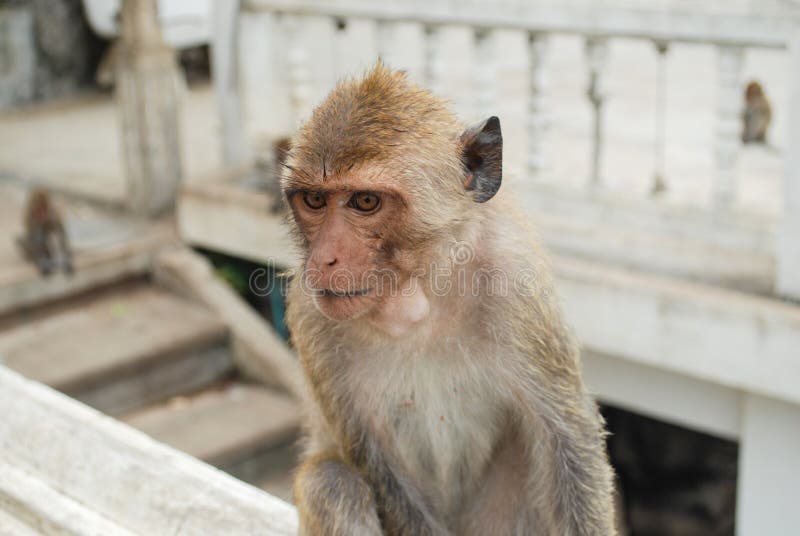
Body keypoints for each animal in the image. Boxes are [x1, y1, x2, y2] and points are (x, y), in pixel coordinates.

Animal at [284, 63, 616, 536]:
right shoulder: (309, 316)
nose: (324, 258)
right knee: (330, 481)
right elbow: (373, 461)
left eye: (364, 201)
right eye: (314, 199)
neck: (420, 300)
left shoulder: (517, 287)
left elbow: (565, 438)